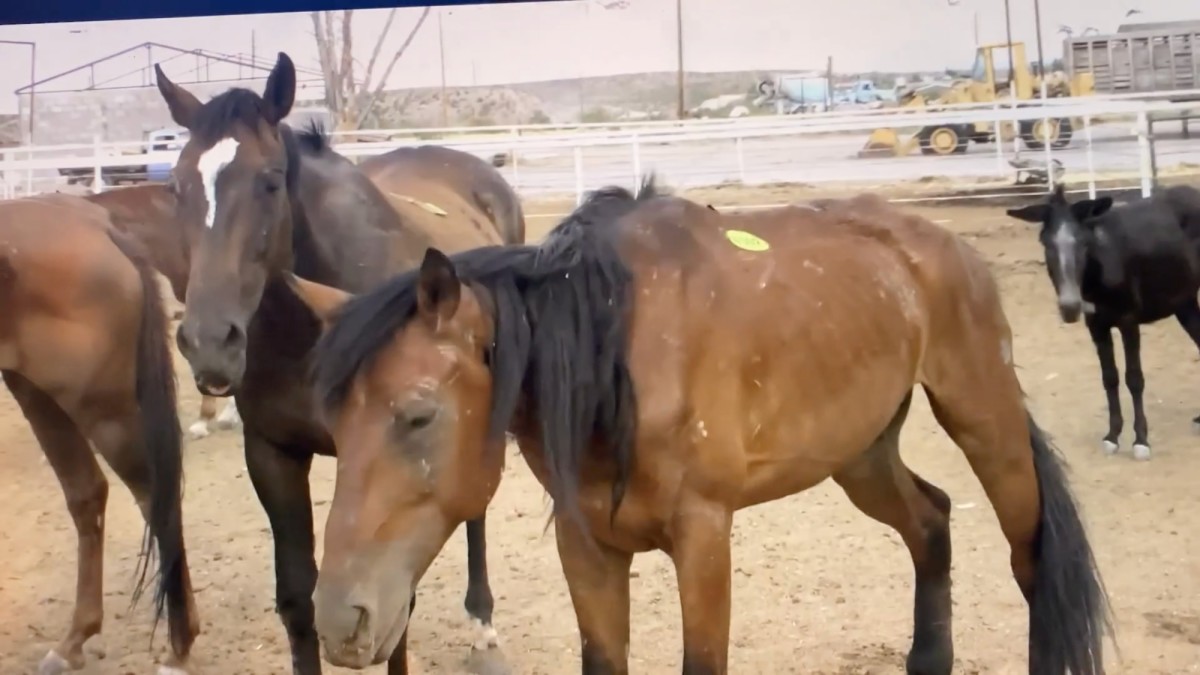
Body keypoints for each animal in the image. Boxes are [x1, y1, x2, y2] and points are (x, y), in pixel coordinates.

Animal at [0, 194, 198, 674]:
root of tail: (96, 223)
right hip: (38, 394)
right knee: (88, 495)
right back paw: (76, 638)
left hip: (101, 411)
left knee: (155, 498)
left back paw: (179, 642)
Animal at [152, 50, 523, 674]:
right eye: (178, 187)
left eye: (270, 181)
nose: (208, 341)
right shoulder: (273, 454)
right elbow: (298, 600)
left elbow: (398, 614)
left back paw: (483, 620)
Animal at [294, 177, 1114, 674]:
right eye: (329, 423)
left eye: (418, 414)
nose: (340, 620)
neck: (613, 346)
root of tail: (938, 242)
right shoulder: (587, 546)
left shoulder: (703, 535)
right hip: (858, 453)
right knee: (931, 521)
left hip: (983, 417)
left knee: (1030, 557)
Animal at [1006, 183, 1200, 461]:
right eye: (1045, 242)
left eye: (1083, 241)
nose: (1070, 308)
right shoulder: (1096, 326)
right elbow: (1109, 378)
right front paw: (1112, 436)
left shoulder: (1129, 321)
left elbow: (1134, 379)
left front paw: (1141, 440)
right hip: (1184, 302)